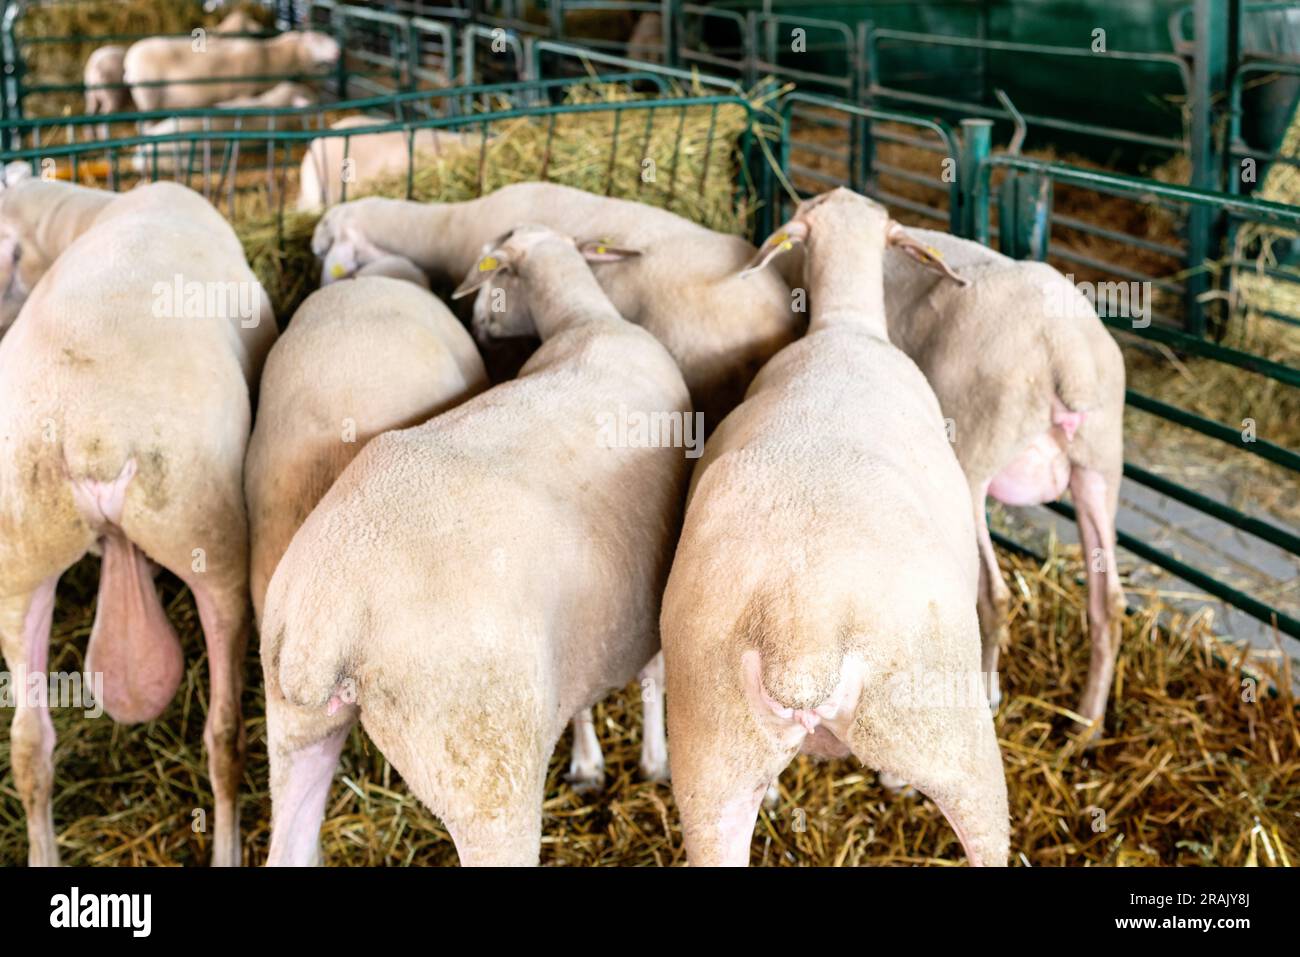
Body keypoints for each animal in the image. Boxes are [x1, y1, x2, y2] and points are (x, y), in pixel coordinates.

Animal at [123, 29, 339, 112]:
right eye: (316, 39)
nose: (338, 51)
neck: (272, 58)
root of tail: (129, 61)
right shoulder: (243, 92)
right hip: (148, 97)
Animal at [874, 229, 1127, 731]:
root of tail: (1066, 354)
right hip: (1101, 467)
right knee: (1108, 602)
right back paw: (1085, 726)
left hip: (972, 456)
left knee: (994, 594)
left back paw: (989, 695)